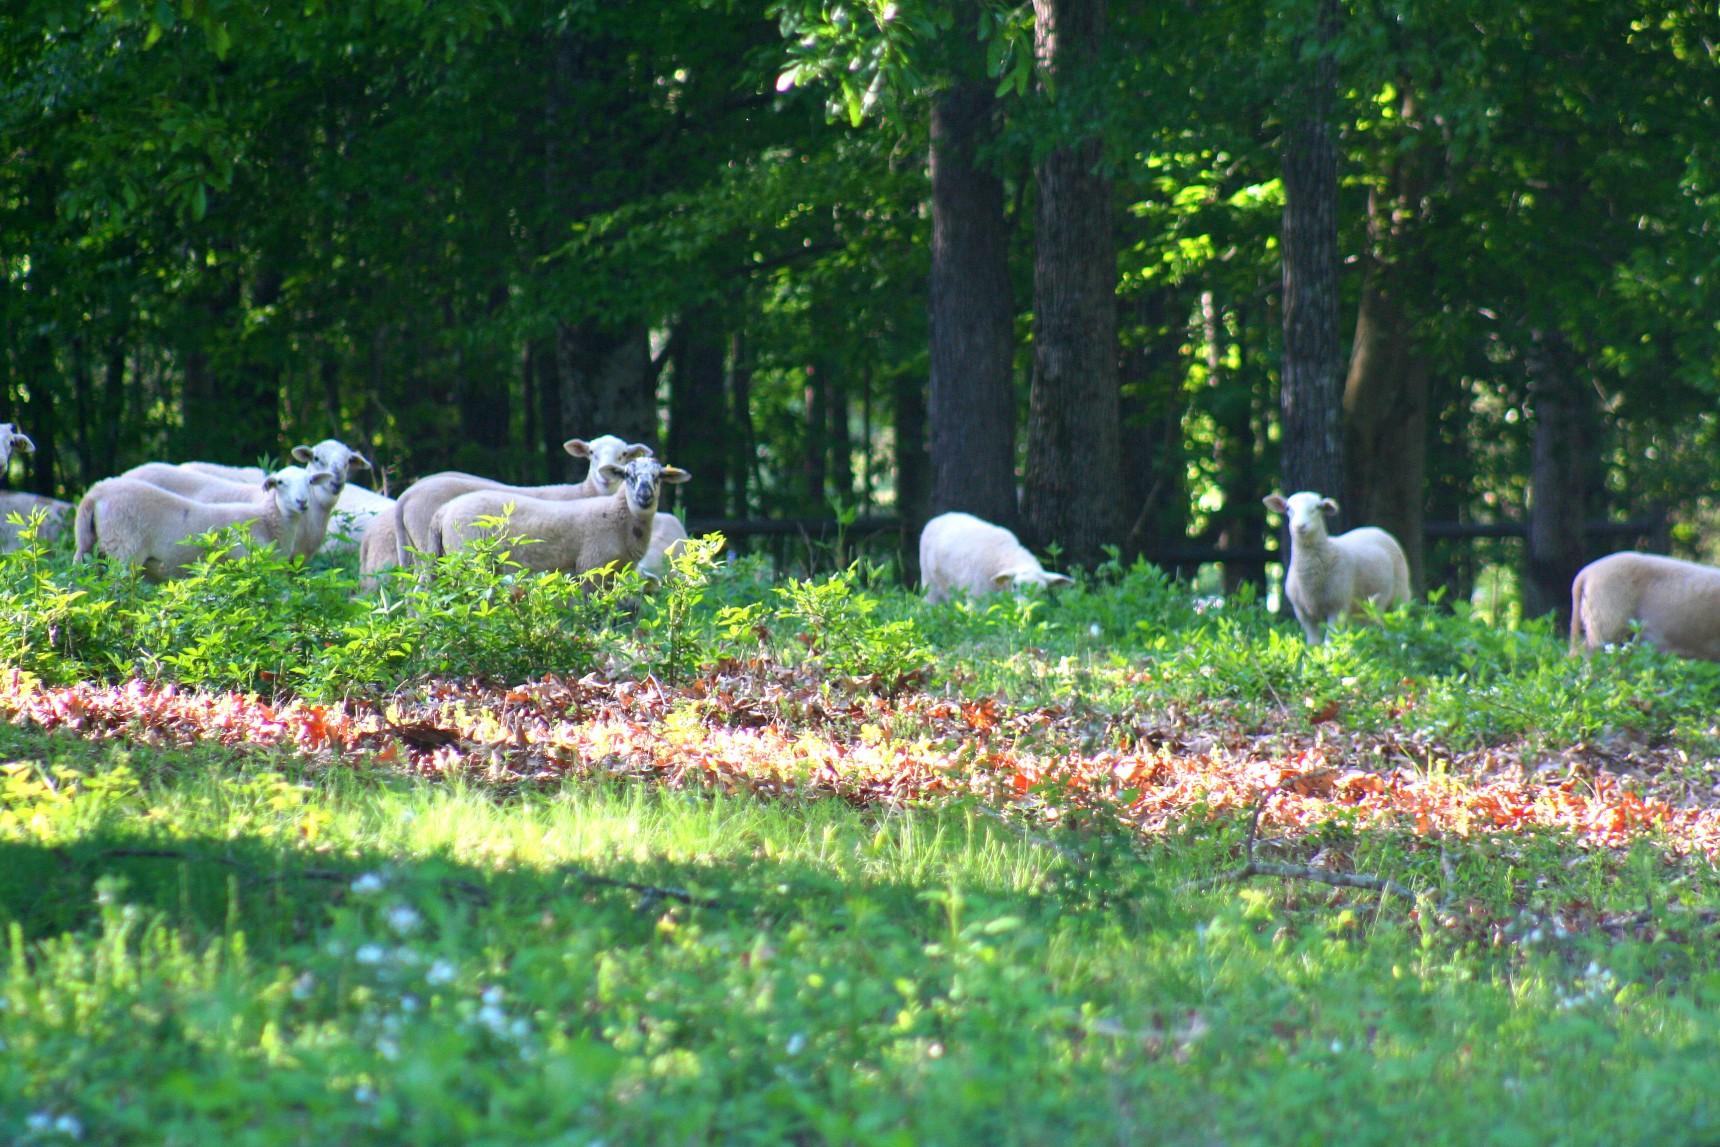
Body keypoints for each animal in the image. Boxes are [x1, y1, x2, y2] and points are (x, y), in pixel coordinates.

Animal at [75, 467, 327, 581]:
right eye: (281, 483)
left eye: (309, 482)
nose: (302, 502)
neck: (267, 520)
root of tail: (96, 492)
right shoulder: (245, 563)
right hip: (125, 549)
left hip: (89, 545)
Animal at [389, 435, 653, 570]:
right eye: (591, 453)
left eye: (624, 454)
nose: (605, 475)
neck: (584, 491)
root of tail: (406, 495)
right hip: (429, 544)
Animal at [427, 457, 689, 578]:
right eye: (628, 476)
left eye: (658, 477)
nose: (644, 496)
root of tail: (444, 511)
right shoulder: (591, 566)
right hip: (467, 556)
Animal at [919, 512, 1073, 606]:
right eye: (1015, 585)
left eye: (1042, 591)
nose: (1023, 607)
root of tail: (940, 517)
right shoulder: (977, 596)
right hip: (928, 580)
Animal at [1262, 491, 1410, 645]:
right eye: (1288, 508)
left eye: (1317, 507)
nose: (1300, 526)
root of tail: (1376, 529)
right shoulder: (1302, 612)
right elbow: (1313, 644)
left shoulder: (1337, 606)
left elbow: (1329, 643)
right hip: (1363, 608)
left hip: (1400, 595)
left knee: (1399, 627)